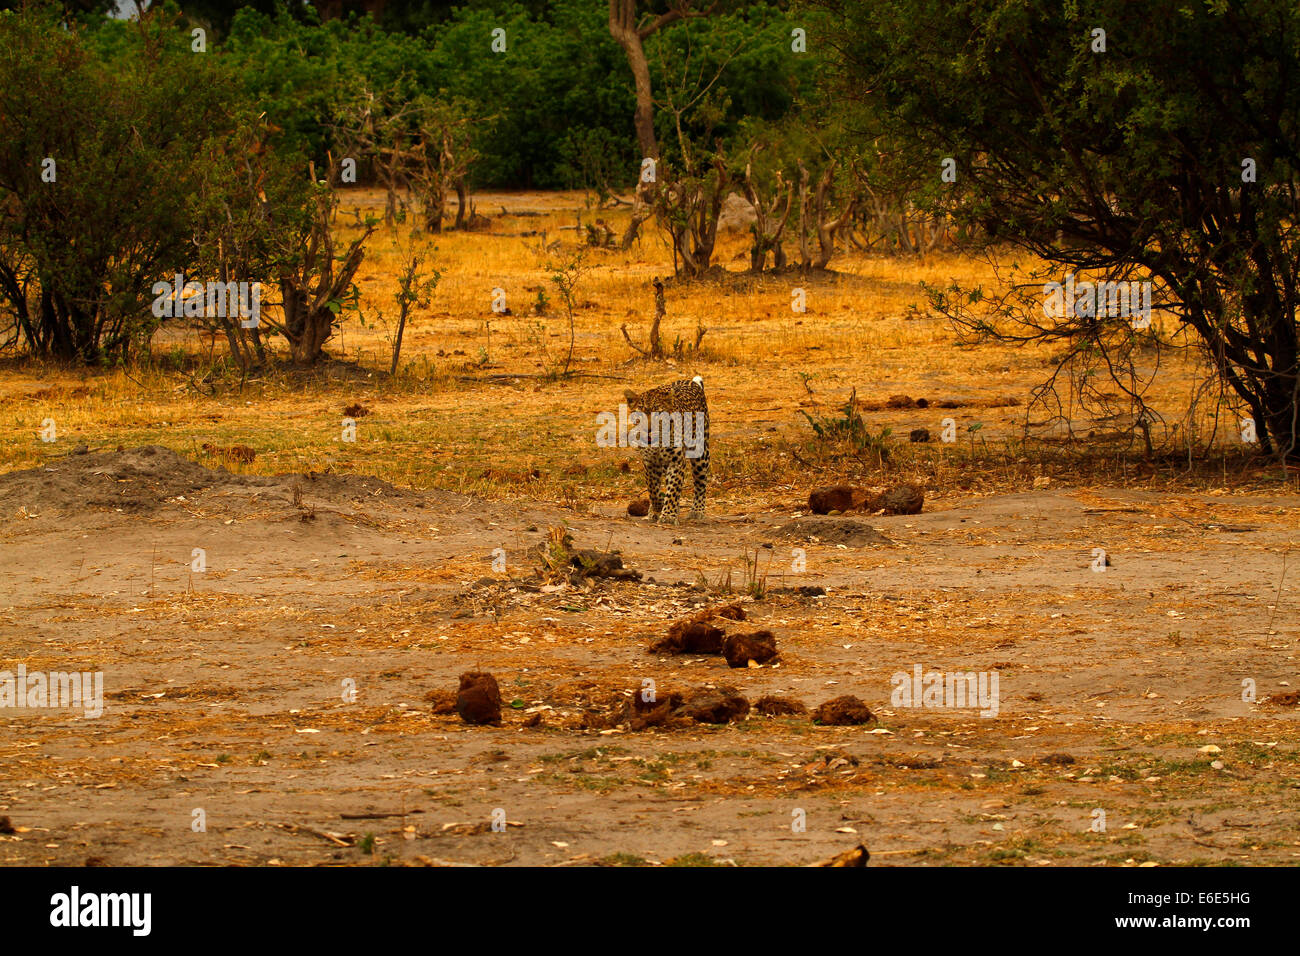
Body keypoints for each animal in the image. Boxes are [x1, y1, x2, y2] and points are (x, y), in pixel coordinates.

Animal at [623, 376, 710, 525]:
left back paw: (697, 510)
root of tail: (692, 382)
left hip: (701, 453)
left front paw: (668, 515)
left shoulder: (676, 461)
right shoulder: (650, 463)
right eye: (640, 413)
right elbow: (653, 489)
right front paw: (657, 509)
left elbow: (674, 488)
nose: (649, 430)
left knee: (700, 483)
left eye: (658, 413)